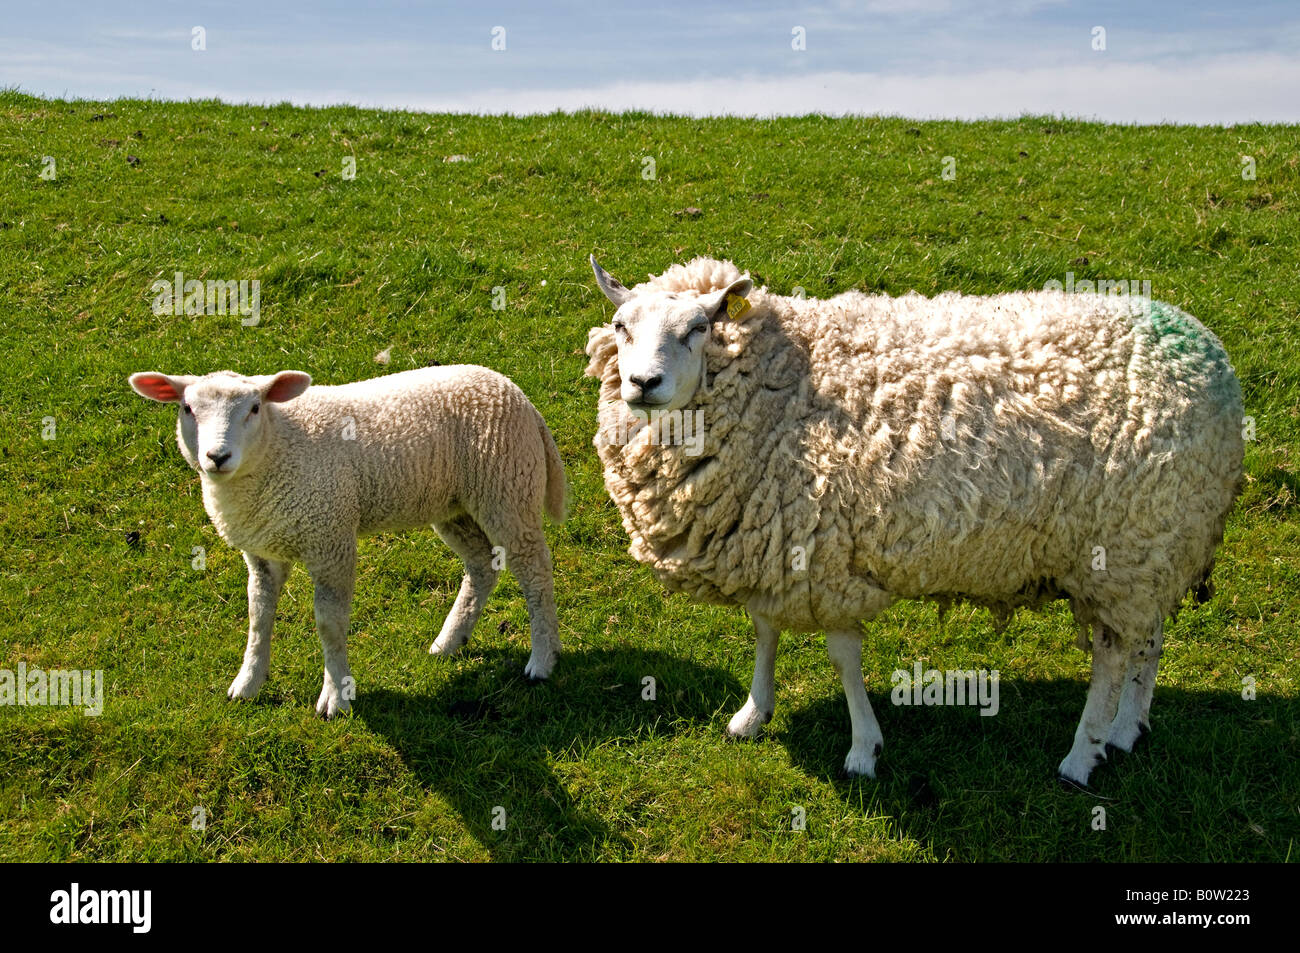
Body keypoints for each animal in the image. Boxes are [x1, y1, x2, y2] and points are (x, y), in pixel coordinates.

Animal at [129, 365, 566, 717]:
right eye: (187, 408)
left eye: (253, 408)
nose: (217, 457)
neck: (278, 445)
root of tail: (515, 393)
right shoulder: (261, 552)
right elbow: (258, 615)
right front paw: (248, 681)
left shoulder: (331, 538)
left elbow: (329, 623)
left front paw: (336, 696)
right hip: (452, 505)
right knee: (482, 566)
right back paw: (449, 640)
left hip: (507, 487)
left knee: (535, 571)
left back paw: (542, 660)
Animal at [584, 255, 1243, 787]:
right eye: (620, 327)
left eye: (698, 329)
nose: (642, 384)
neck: (782, 383)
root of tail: (1212, 360)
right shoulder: (772, 543)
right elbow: (765, 629)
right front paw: (752, 715)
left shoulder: (825, 555)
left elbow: (842, 659)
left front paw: (862, 750)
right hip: (1158, 544)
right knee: (1147, 639)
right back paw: (1130, 728)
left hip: (1120, 548)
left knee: (1110, 657)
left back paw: (1083, 756)